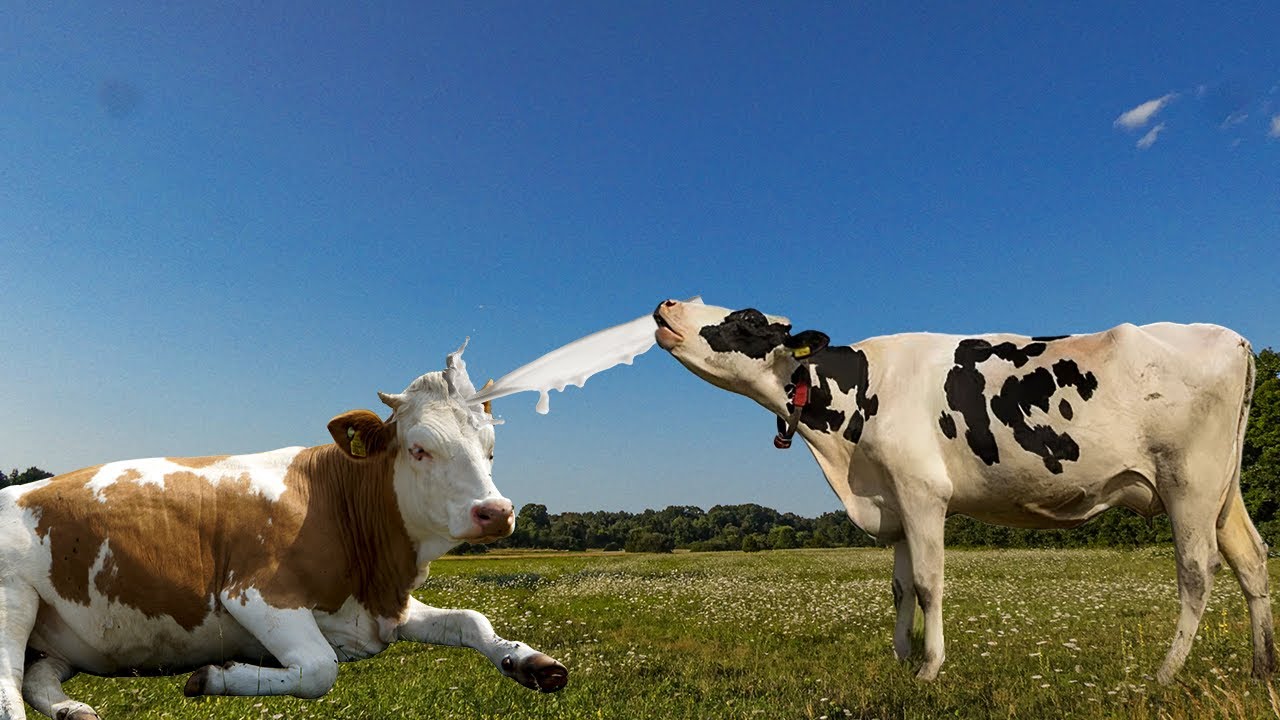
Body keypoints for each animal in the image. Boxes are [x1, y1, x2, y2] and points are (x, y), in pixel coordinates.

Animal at [0, 344, 567, 720]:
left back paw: (73, 709)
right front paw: (214, 676)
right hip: (12, 599)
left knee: (37, 676)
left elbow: (472, 620)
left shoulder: (384, 610)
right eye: (419, 448)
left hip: (54, 640)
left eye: (490, 448)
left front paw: (532, 662)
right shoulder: (254, 593)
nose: (496, 511)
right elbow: (319, 668)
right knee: (8, 689)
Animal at [653, 298, 1273, 684]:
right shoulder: (892, 499)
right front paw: (901, 659)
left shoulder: (923, 490)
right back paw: (1261, 666)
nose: (667, 304)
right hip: (1223, 490)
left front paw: (930, 667)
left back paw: (1166, 673)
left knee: (1197, 570)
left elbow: (929, 584)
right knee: (1251, 559)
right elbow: (900, 588)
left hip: (1188, 482)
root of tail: (1235, 338)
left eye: (746, 318)